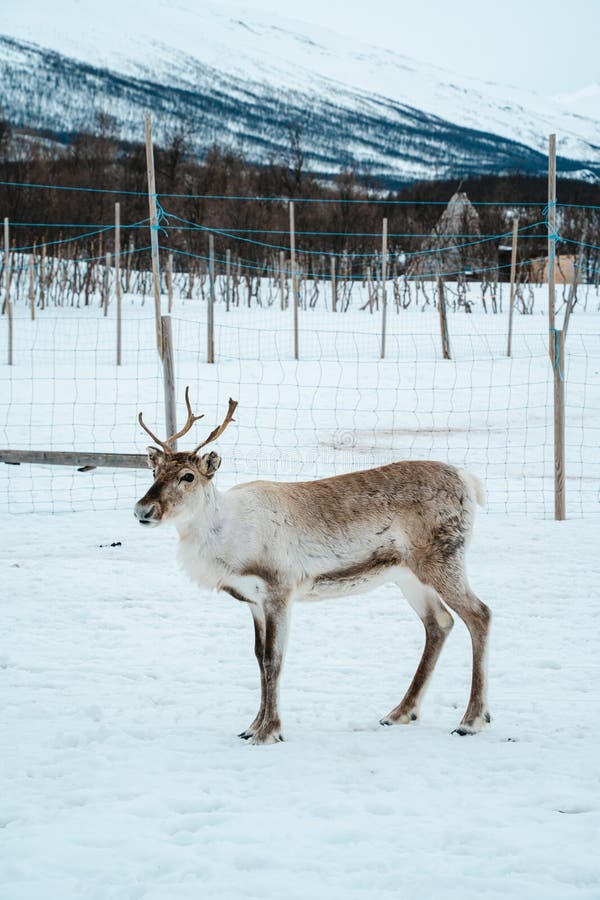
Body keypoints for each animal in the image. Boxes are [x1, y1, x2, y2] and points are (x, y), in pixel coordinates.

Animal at [134, 389, 491, 745]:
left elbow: (273, 659)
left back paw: (471, 720)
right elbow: (258, 658)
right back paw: (400, 712)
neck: (226, 539)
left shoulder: (280, 589)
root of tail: (468, 480)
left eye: (188, 476)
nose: (143, 510)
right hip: (409, 575)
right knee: (439, 623)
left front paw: (270, 731)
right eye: (154, 473)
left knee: (479, 615)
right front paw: (252, 727)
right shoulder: (254, 600)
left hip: (444, 559)